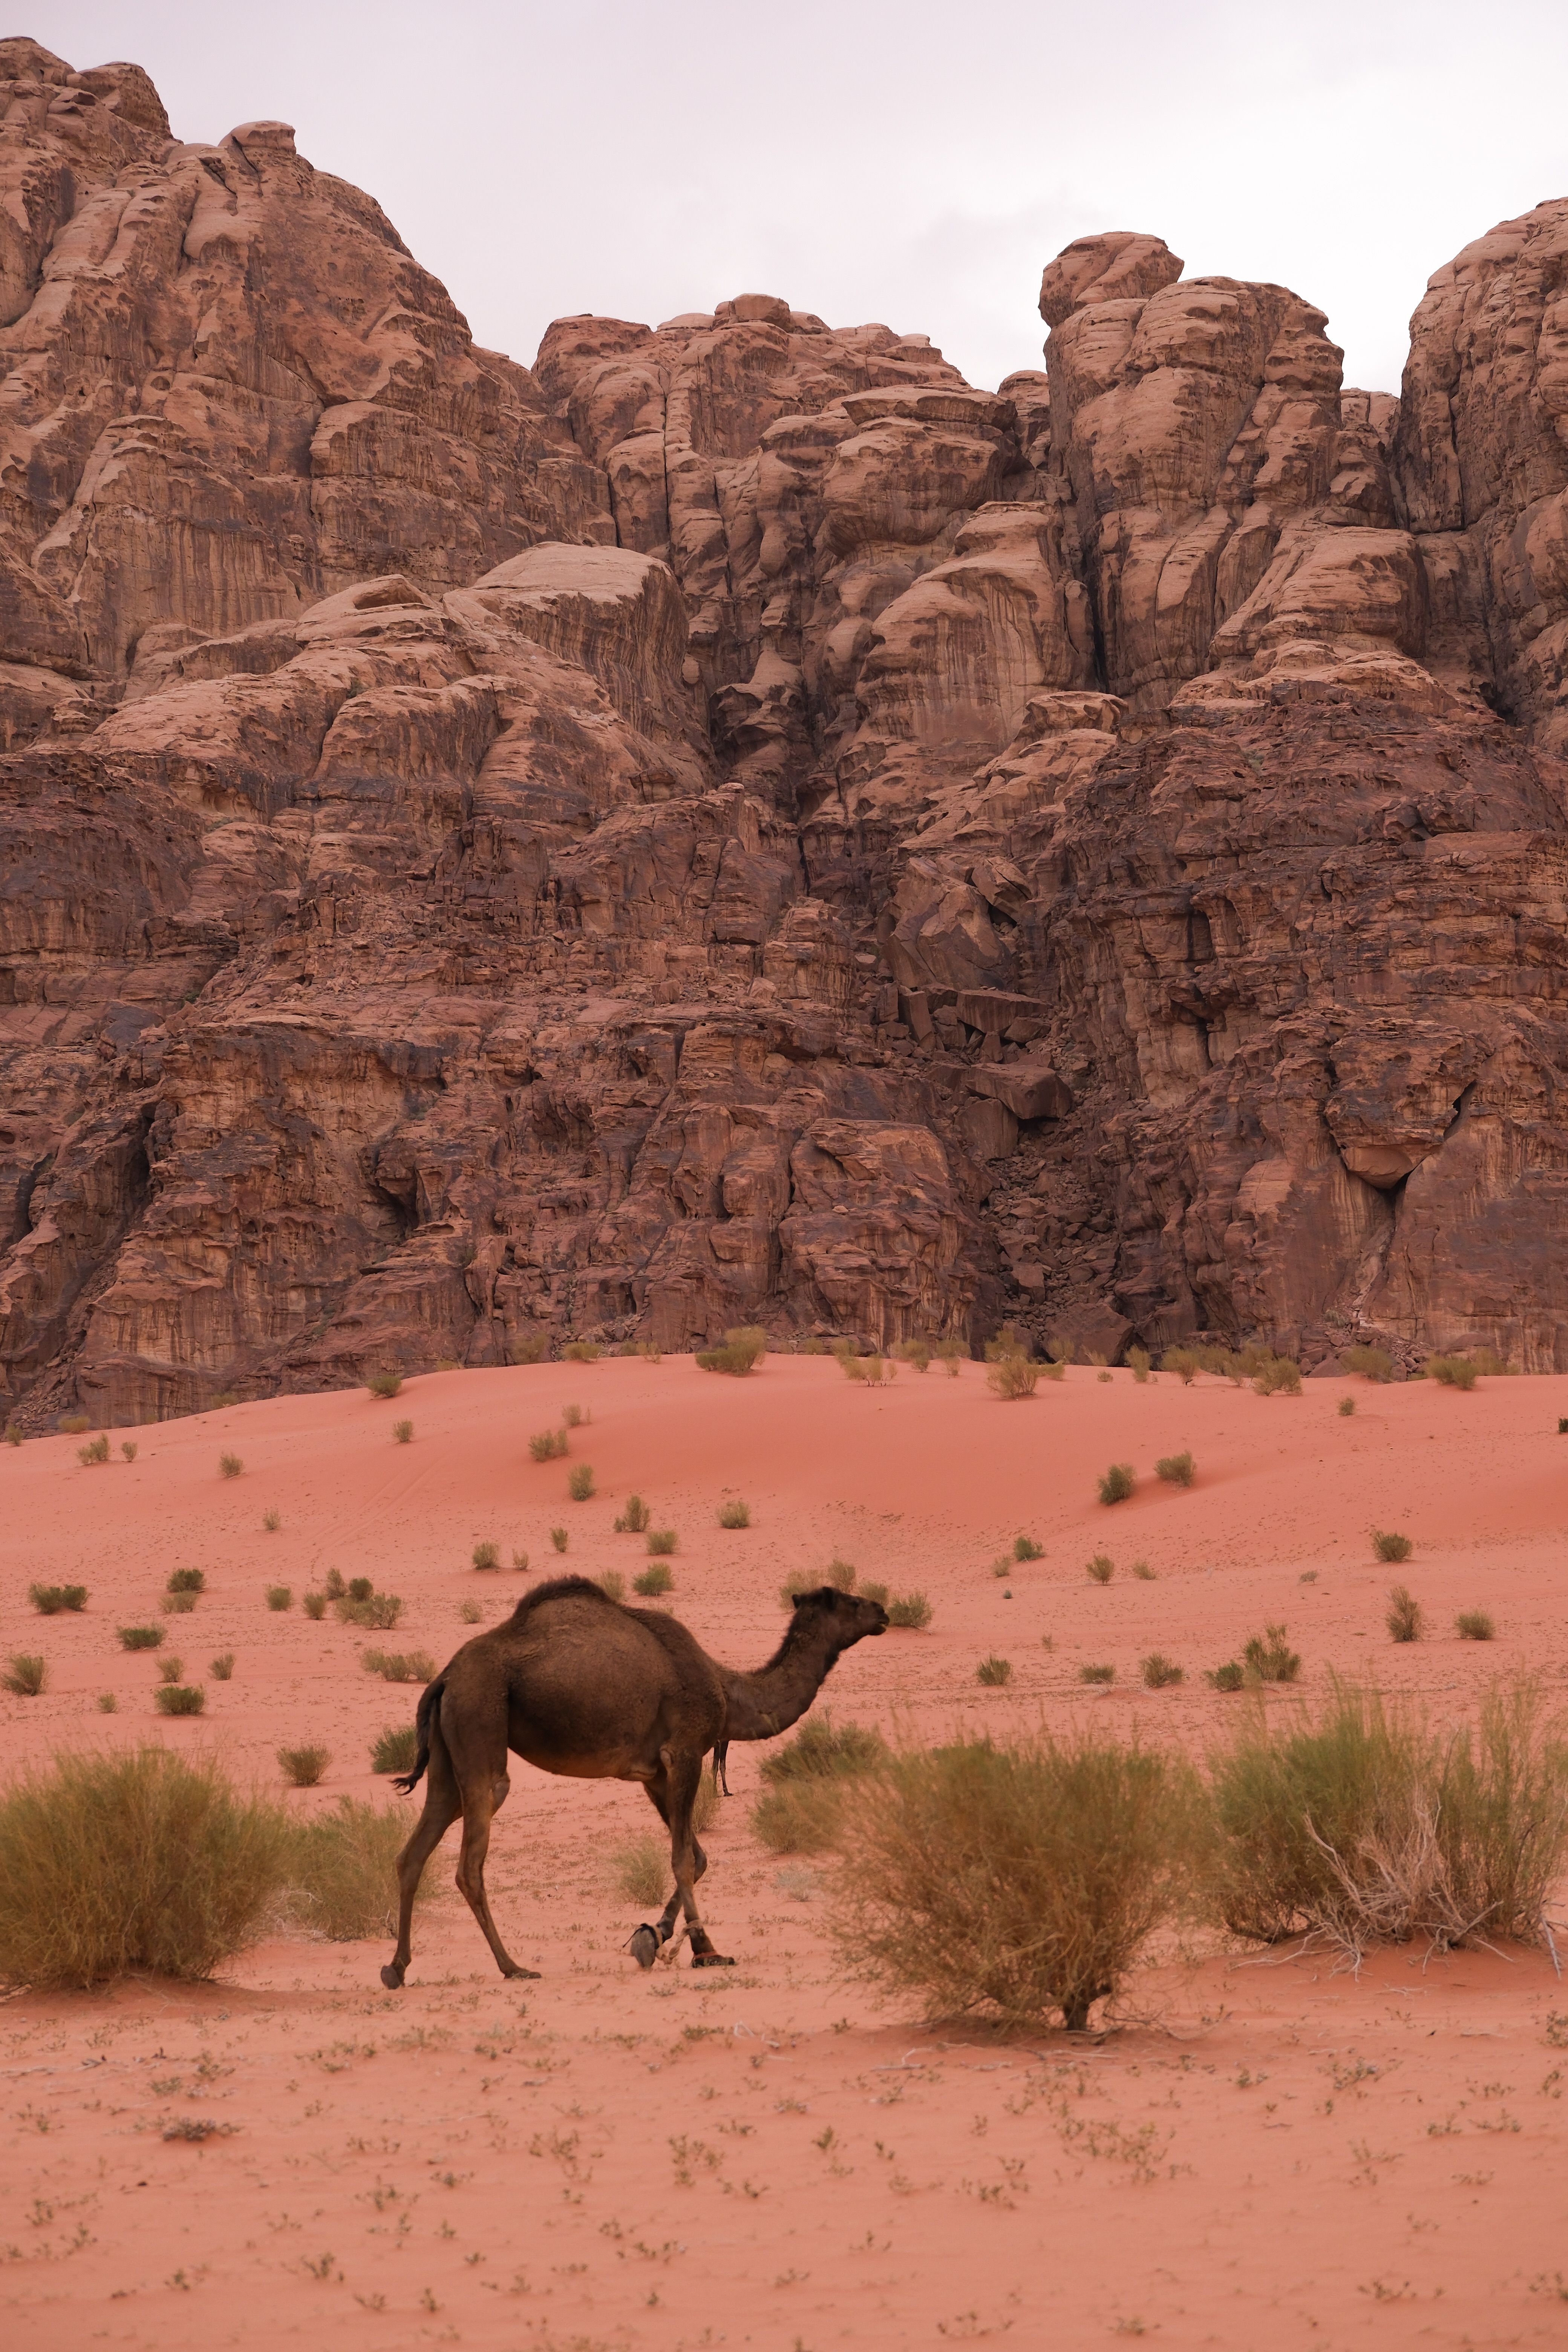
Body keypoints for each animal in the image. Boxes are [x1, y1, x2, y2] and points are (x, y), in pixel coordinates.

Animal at [380, 1574, 888, 1985]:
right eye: (849, 1600)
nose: (883, 1610)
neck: (728, 1692)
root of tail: (444, 1677)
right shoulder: (685, 1753)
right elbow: (682, 1859)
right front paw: (707, 1951)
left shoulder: (655, 1774)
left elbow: (698, 1857)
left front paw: (653, 1936)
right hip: (480, 1718)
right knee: (470, 1861)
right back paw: (513, 1967)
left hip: (449, 1752)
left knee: (414, 1851)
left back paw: (397, 1967)